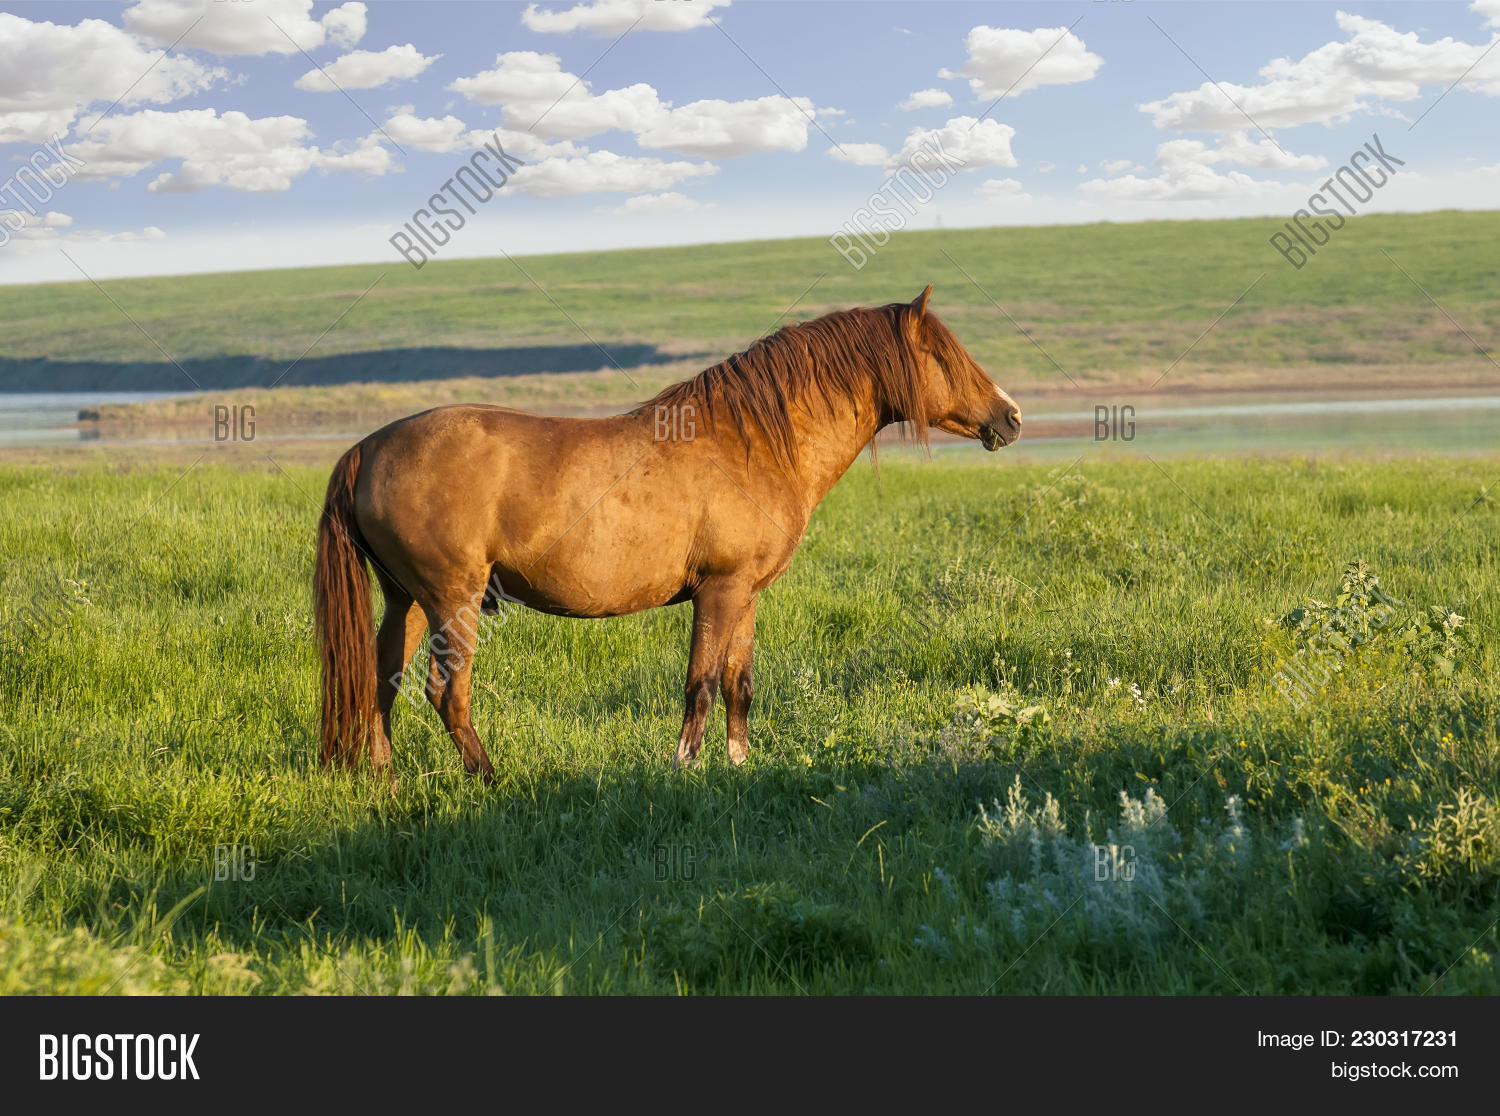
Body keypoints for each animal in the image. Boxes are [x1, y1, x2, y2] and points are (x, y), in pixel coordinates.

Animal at [313, 285, 1022, 780]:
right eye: (943, 354)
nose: (1012, 417)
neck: (751, 442)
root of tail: (367, 448)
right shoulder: (718, 591)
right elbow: (700, 686)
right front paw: (683, 771)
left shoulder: (746, 595)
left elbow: (738, 686)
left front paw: (738, 770)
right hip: (452, 601)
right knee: (446, 693)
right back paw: (492, 780)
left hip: (407, 601)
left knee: (381, 682)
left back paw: (386, 781)